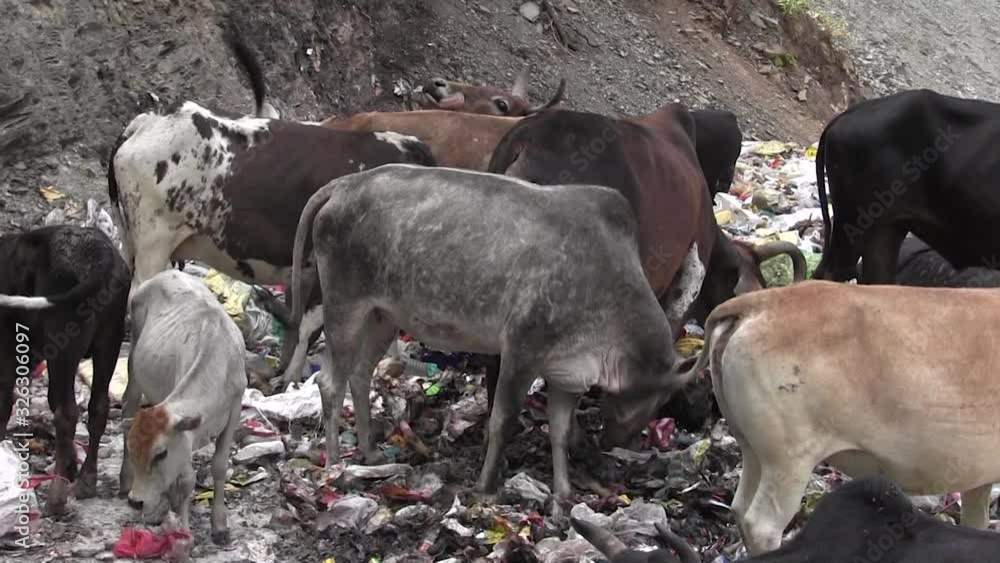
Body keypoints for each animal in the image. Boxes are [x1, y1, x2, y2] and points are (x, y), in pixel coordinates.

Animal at [0, 225, 130, 514]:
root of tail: (99, 254)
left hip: (65, 342)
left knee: (67, 413)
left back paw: (56, 499)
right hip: (110, 339)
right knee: (98, 406)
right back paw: (86, 480)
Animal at [119, 270, 246, 545]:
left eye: (160, 454)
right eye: (134, 451)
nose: (135, 501)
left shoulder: (235, 409)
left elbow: (219, 466)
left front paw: (220, 525)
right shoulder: (185, 433)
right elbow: (187, 481)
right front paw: (183, 533)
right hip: (134, 358)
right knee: (128, 406)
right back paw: (127, 481)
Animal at [288, 164, 698, 506]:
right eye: (660, 399)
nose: (621, 444)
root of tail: (345, 184)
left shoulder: (566, 373)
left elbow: (560, 432)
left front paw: (563, 493)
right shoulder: (521, 350)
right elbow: (503, 420)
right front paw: (486, 487)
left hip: (382, 315)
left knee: (359, 375)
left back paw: (370, 452)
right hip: (344, 305)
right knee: (331, 382)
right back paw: (336, 463)